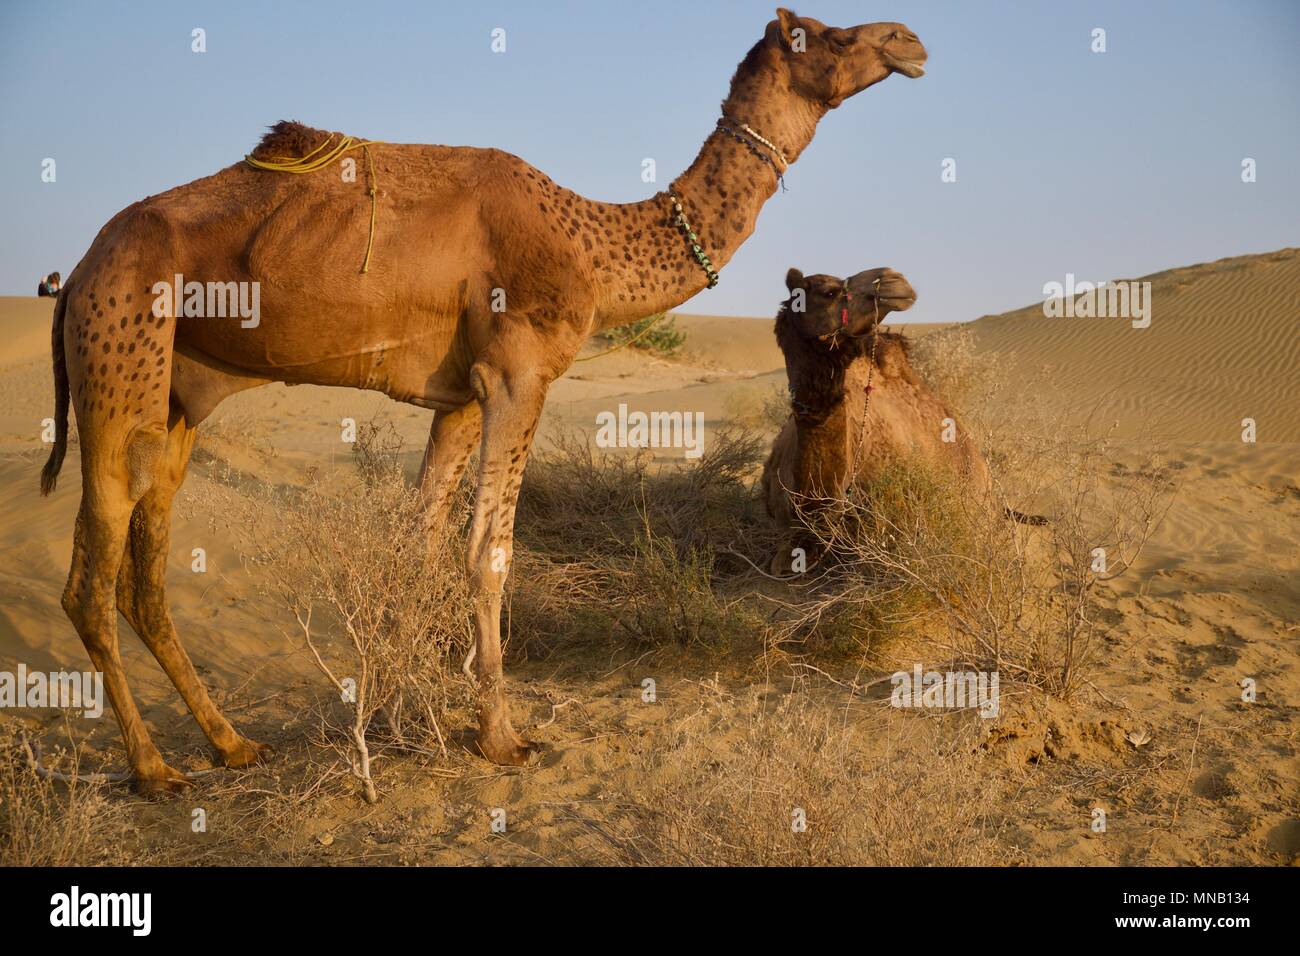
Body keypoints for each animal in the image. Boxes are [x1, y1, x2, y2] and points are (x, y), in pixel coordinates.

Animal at [39, 9, 927, 791]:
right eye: (822, 34)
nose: (908, 40)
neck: (590, 245)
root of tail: (75, 273)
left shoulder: (458, 399)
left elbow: (416, 543)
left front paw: (394, 714)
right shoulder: (516, 374)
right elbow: (489, 551)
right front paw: (500, 736)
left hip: (177, 393)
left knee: (145, 567)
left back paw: (231, 745)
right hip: (119, 351)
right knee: (89, 577)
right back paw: (154, 771)